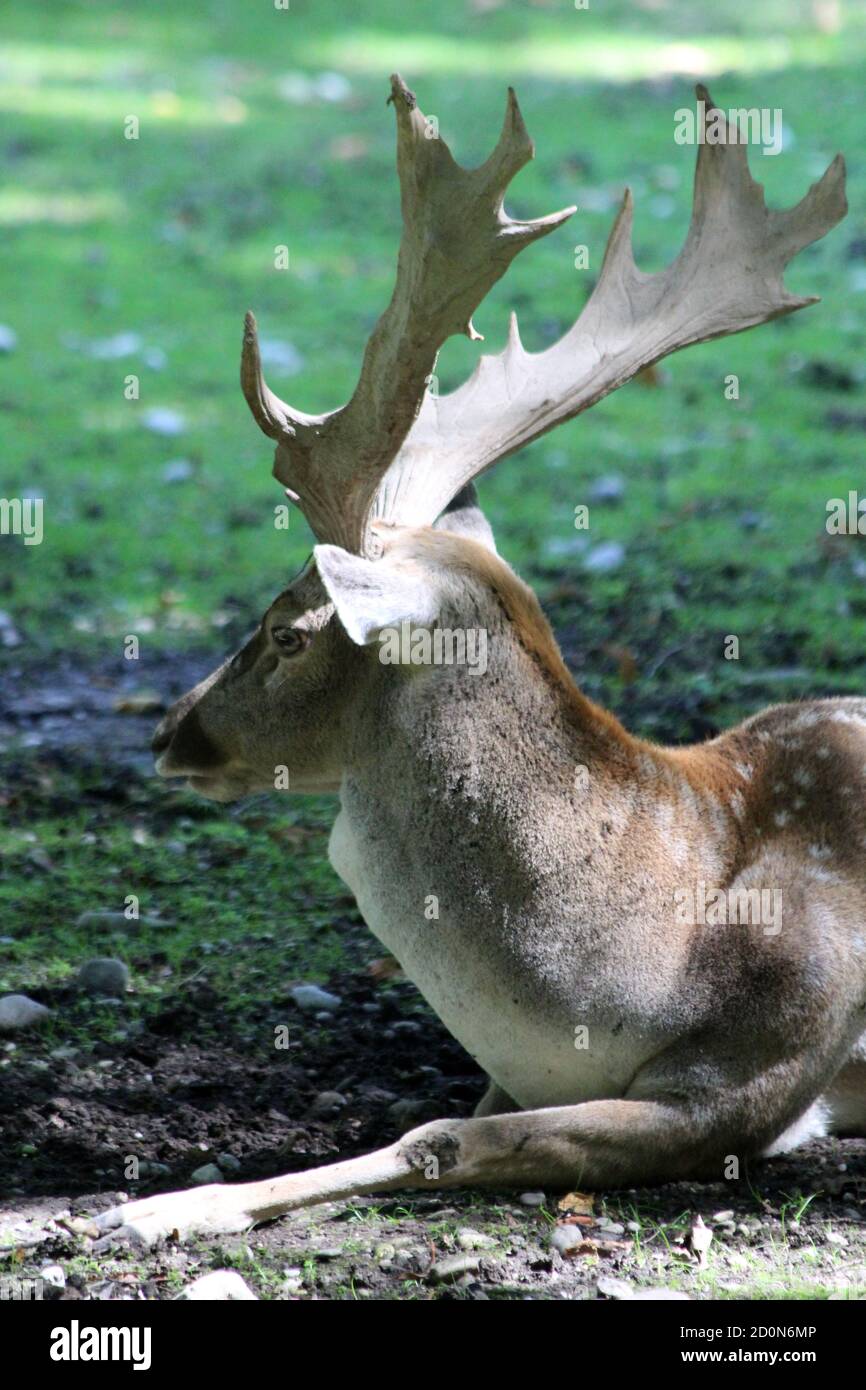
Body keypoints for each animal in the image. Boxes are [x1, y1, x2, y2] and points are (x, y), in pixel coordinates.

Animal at [95, 76, 864, 1248]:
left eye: (287, 628)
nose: (169, 726)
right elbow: (457, 1114)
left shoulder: (758, 1072)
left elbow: (442, 1138)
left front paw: (158, 1209)